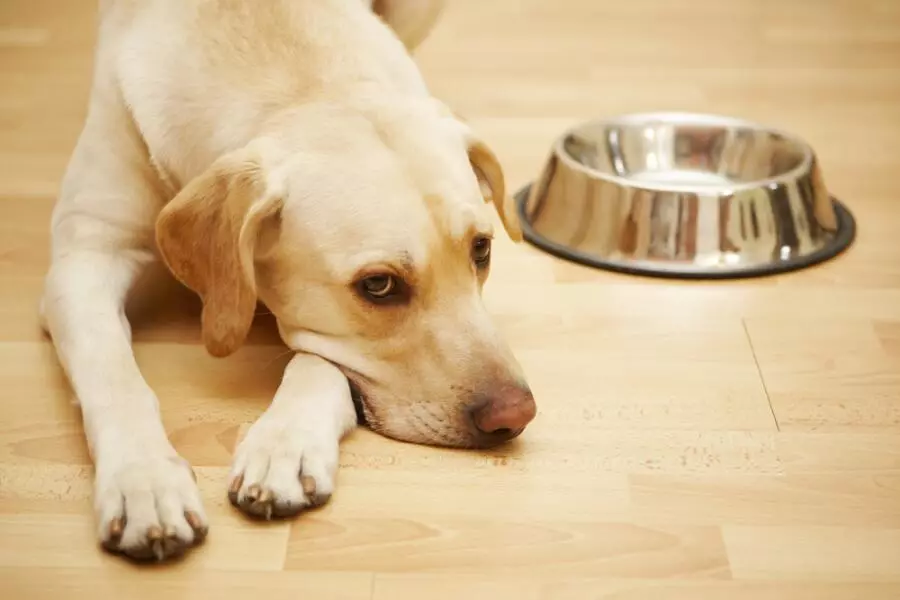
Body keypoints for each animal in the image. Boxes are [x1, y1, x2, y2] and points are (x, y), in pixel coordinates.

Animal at [40, 0, 536, 564]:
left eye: (482, 250)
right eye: (379, 286)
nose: (516, 414)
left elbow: (320, 363)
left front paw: (286, 444)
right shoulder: (84, 256)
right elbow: (114, 375)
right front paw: (143, 481)